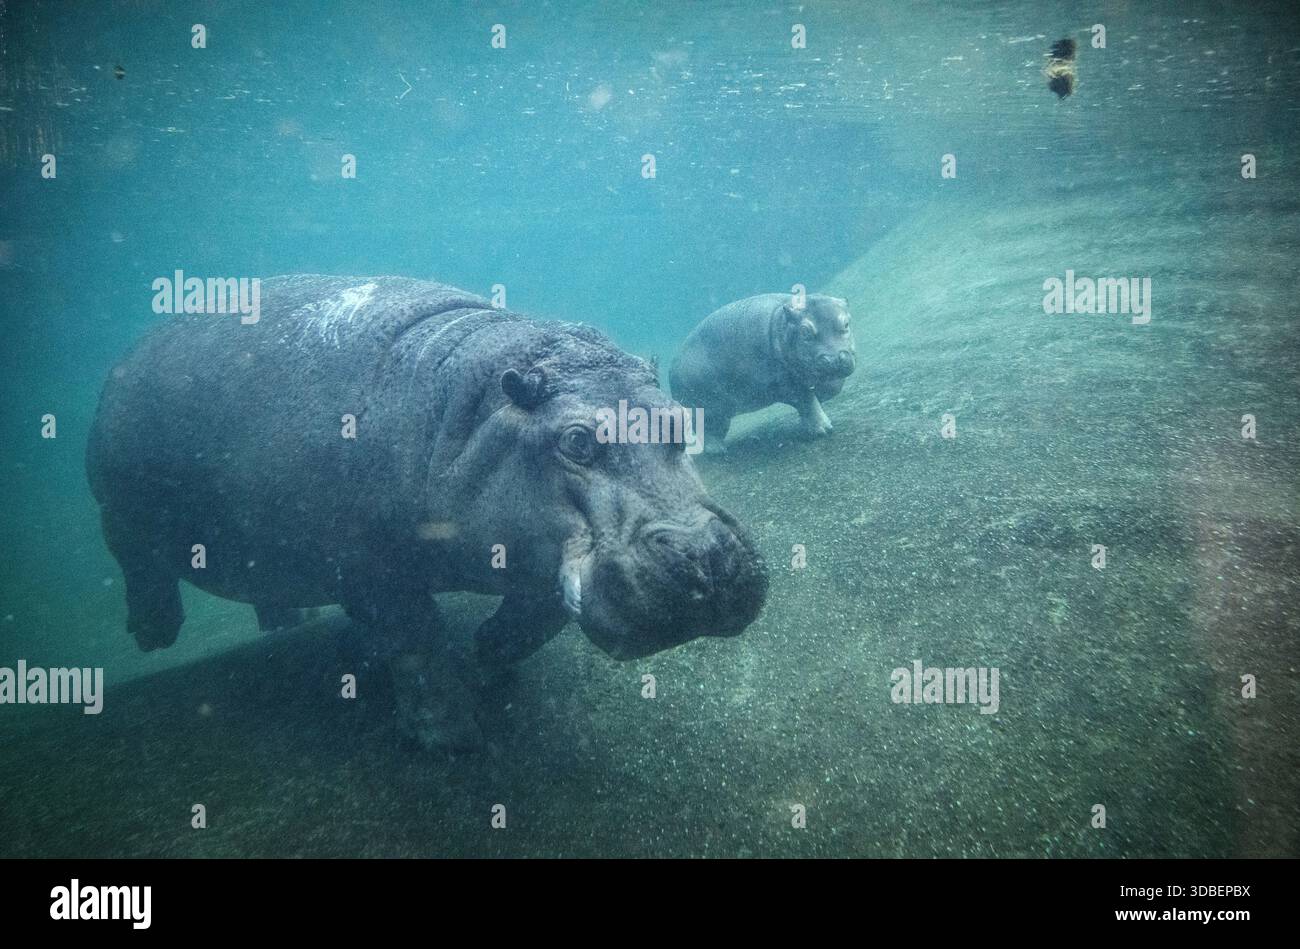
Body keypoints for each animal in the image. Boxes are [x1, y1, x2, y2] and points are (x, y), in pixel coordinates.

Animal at [86, 275, 768, 751]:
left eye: (679, 419)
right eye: (576, 440)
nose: (708, 558)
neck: (465, 408)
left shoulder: (540, 553)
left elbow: (540, 616)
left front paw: (488, 655)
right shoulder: (368, 570)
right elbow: (415, 641)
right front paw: (451, 735)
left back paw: (284, 620)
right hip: (115, 510)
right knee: (140, 567)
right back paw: (155, 633)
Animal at [669, 293, 856, 449]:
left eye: (846, 323)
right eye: (805, 332)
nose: (836, 359)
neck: (781, 325)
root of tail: (673, 365)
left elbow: (828, 390)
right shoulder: (786, 386)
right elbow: (807, 401)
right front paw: (822, 430)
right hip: (703, 409)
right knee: (706, 431)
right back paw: (718, 451)